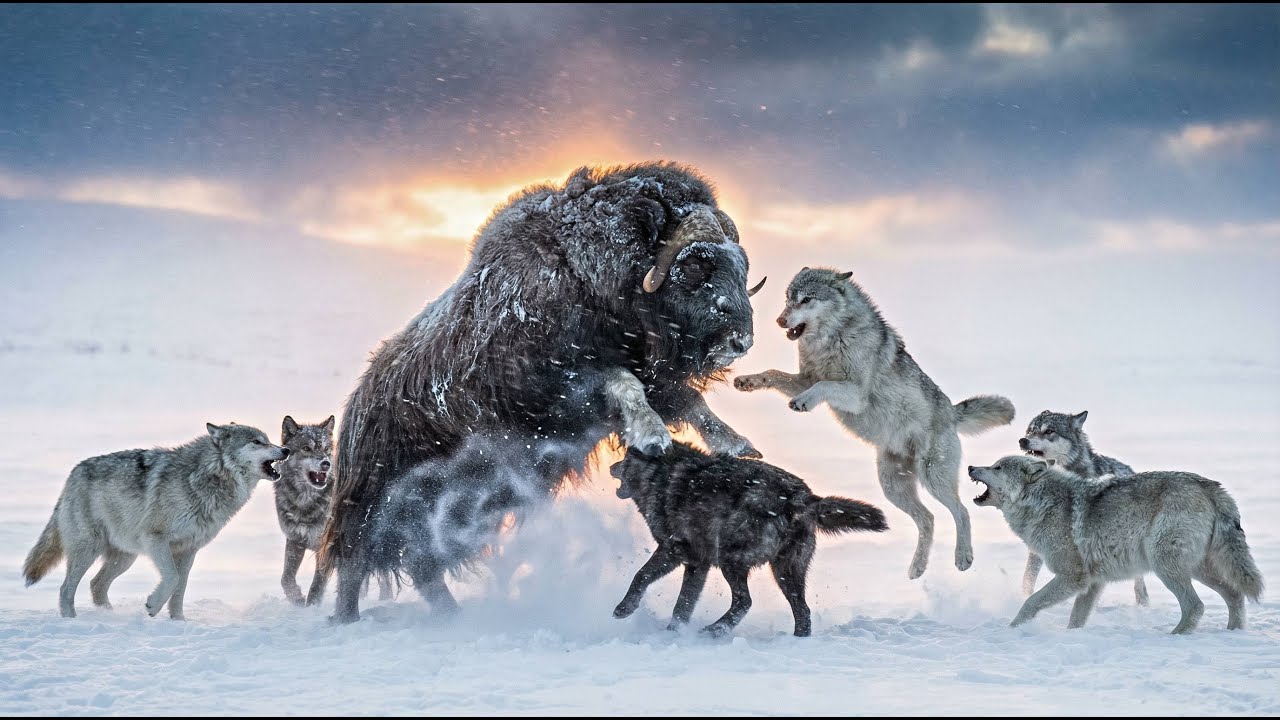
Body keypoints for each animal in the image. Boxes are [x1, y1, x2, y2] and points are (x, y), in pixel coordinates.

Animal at [22, 423, 288, 619]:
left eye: (268, 439)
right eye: (257, 442)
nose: (286, 450)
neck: (206, 477)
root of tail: (73, 473)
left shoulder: (189, 550)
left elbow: (180, 588)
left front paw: (179, 621)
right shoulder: (156, 539)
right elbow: (172, 578)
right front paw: (153, 605)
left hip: (124, 558)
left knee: (96, 585)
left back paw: (110, 616)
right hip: (89, 548)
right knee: (66, 588)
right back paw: (72, 620)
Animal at [274, 415, 393, 606]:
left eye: (326, 449)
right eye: (306, 448)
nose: (326, 463)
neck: (305, 502)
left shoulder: (325, 547)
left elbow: (317, 585)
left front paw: (312, 607)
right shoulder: (295, 540)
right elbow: (286, 578)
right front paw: (297, 599)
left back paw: (385, 599)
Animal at [610, 441, 888, 637]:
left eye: (625, 456)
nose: (611, 466)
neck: (661, 475)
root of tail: (800, 497)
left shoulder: (673, 551)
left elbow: (641, 576)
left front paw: (624, 609)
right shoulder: (697, 564)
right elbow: (684, 604)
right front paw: (673, 634)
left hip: (731, 560)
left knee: (745, 601)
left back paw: (715, 631)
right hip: (785, 571)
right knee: (803, 610)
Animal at [735, 267, 1015, 579]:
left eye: (806, 300)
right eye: (788, 299)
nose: (780, 320)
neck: (833, 339)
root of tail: (952, 413)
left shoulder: (854, 393)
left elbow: (824, 385)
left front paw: (803, 402)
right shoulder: (803, 379)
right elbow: (773, 373)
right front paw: (747, 381)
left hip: (932, 478)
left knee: (962, 511)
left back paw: (963, 558)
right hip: (892, 487)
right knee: (928, 518)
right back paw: (917, 568)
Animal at [969, 455, 1264, 633]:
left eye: (997, 467)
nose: (971, 467)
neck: (1044, 502)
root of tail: (1211, 487)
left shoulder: (1073, 577)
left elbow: (1030, 602)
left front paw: (1012, 630)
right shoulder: (1093, 582)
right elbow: (1076, 619)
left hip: (1164, 565)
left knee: (1196, 606)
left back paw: (1174, 637)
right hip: (1197, 569)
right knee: (1235, 595)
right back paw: (1233, 633)